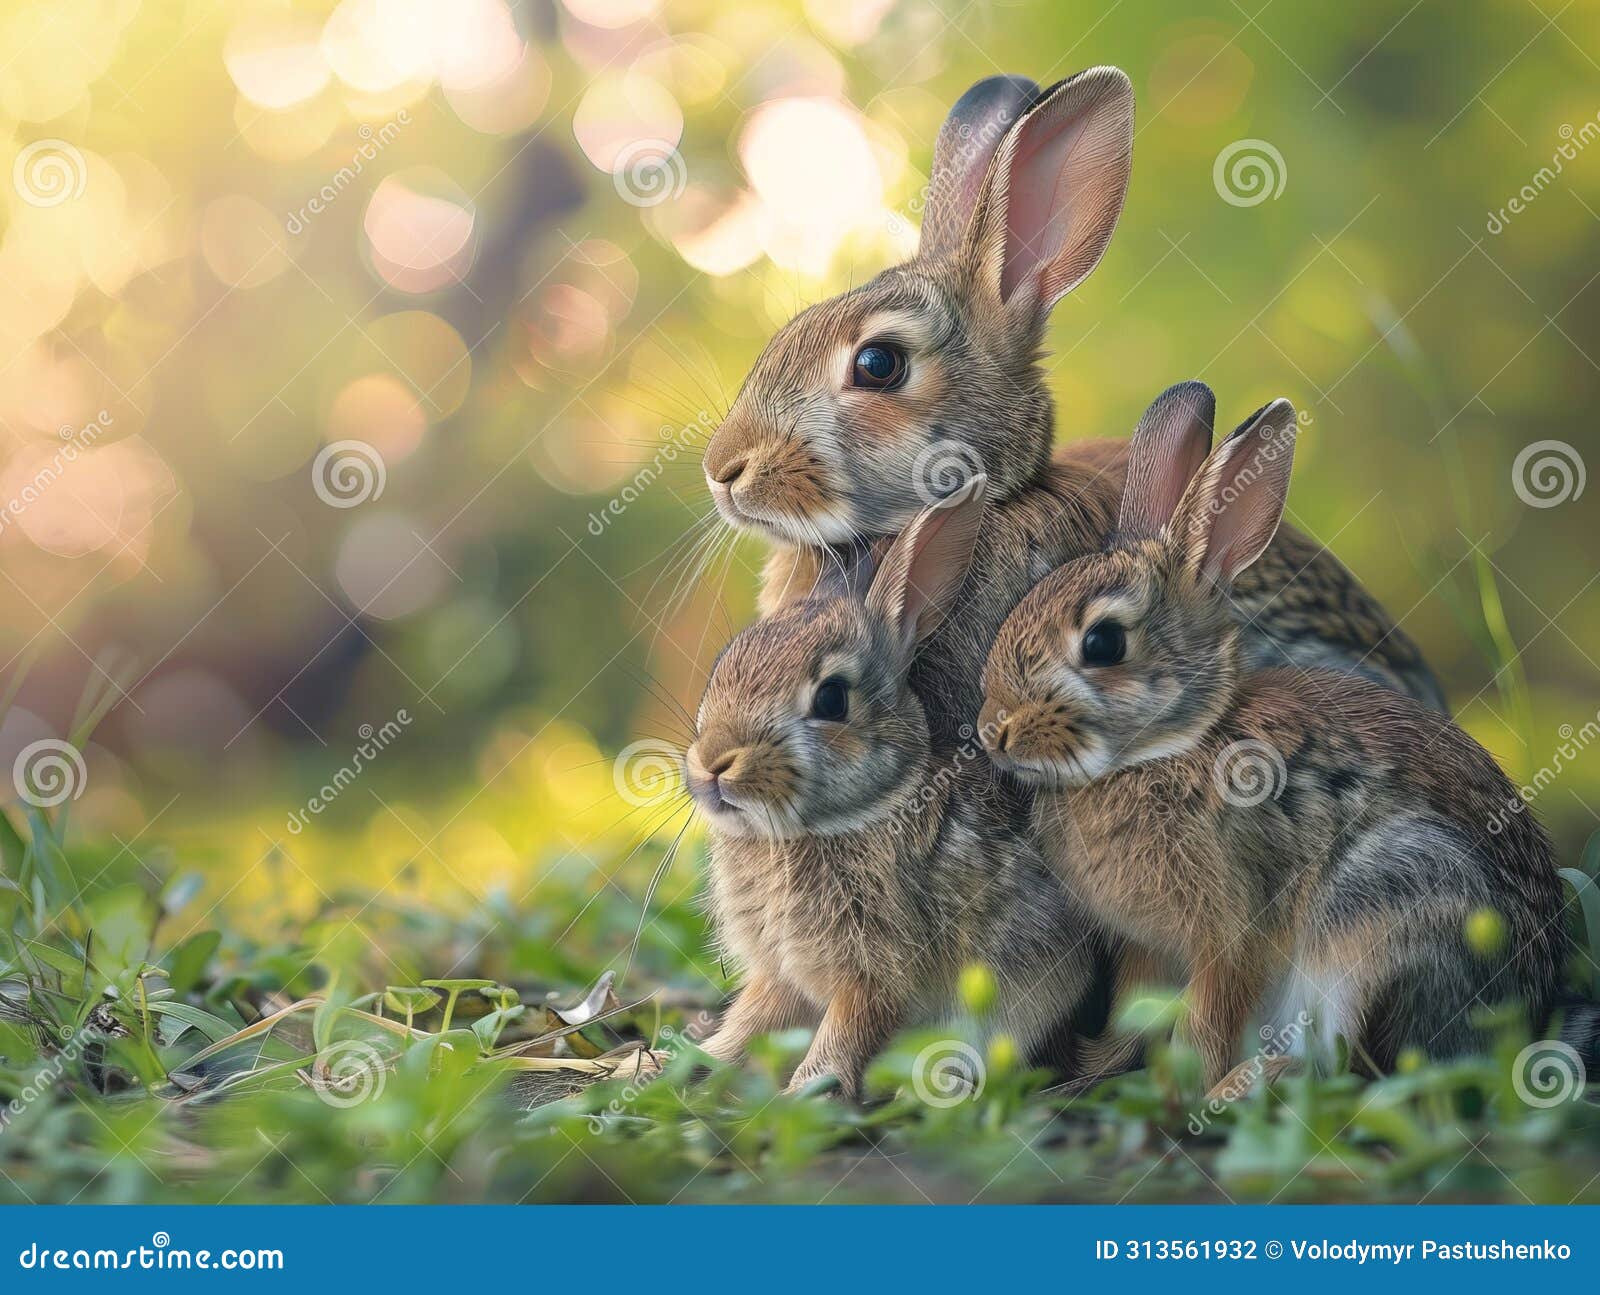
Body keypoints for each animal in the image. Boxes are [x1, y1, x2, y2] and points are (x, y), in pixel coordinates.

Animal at [683, 477, 1112, 1100]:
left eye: (832, 699)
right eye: (722, 668)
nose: (714, 764)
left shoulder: (877, 971)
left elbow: (845, 1032)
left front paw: (800, 1094)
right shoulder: (781, 973)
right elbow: (748, 1023)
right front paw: (665, 1068)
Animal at [976, 387, 1568, 1091]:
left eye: (1102, 643)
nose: (992, 731)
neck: (1170, 748)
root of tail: (1530, 1004)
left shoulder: (1232, 933)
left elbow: (1208, 1021)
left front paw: (1194, 1087)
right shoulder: (1147, 948)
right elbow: (1134, 1015)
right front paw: (1099, 1067)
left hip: (1386, 909)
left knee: (1364, 1069)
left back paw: (1248, 1083)